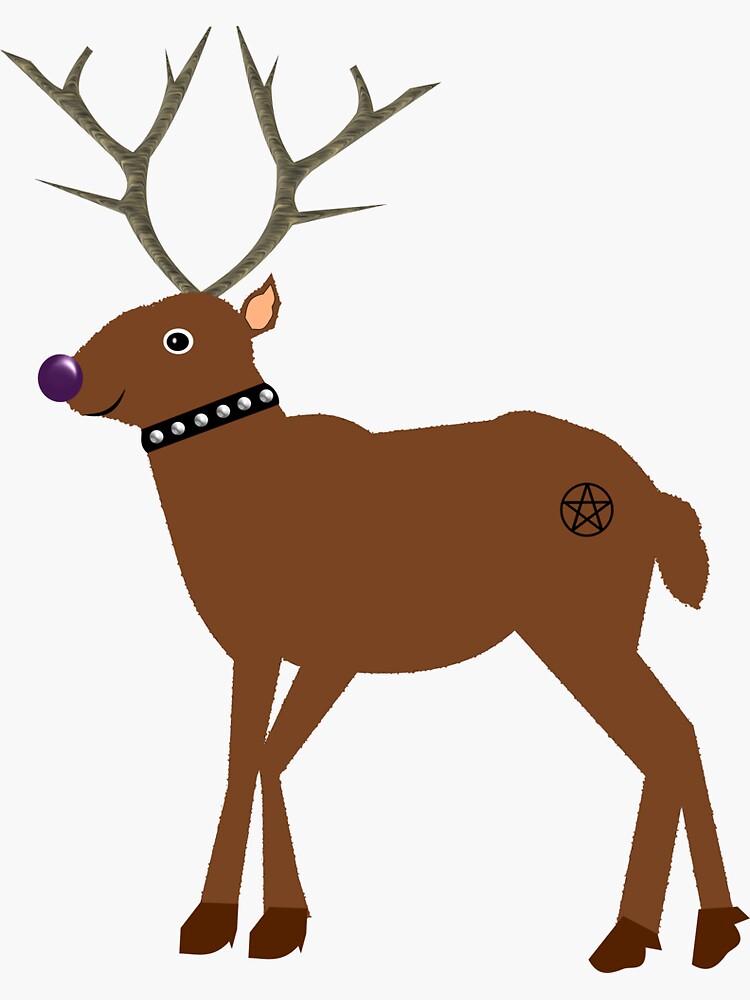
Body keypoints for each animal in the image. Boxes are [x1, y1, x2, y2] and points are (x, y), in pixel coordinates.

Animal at [8, 27, 746, 973]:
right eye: (125, 307)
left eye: (178, 337)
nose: (60, 371)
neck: (249, 499)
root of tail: (654, 496)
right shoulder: (268, 644)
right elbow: (249, 757)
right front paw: (240, 922)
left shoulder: (324, 638)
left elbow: (259, 758)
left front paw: (254, 924)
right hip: (594, 624)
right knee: (670, 736)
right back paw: (669, 934)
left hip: (582, 617)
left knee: (669, 735)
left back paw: (668, 933)